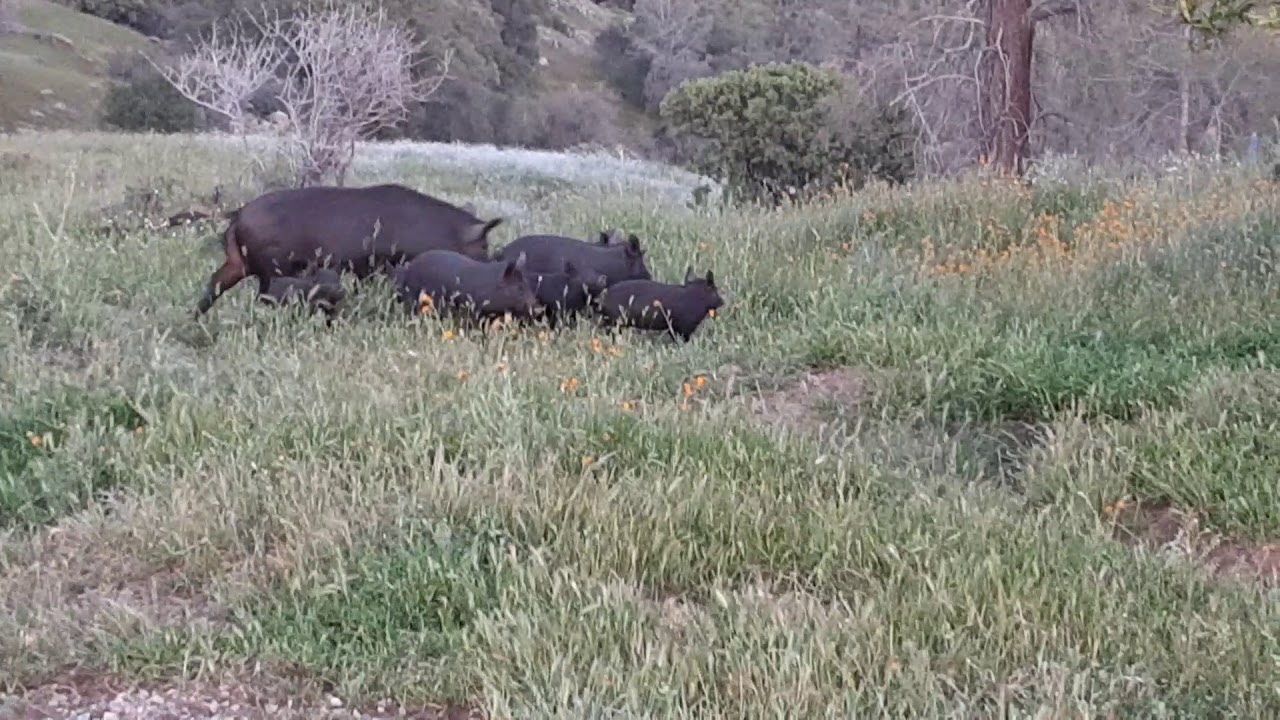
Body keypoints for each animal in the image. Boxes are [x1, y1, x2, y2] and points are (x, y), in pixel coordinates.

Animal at [194, 184, 503, 318]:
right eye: (484, 245)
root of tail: (238, 214)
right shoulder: (385, 264)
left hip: (240, 263)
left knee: (215, 283)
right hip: (272, 267)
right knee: (265, 295)